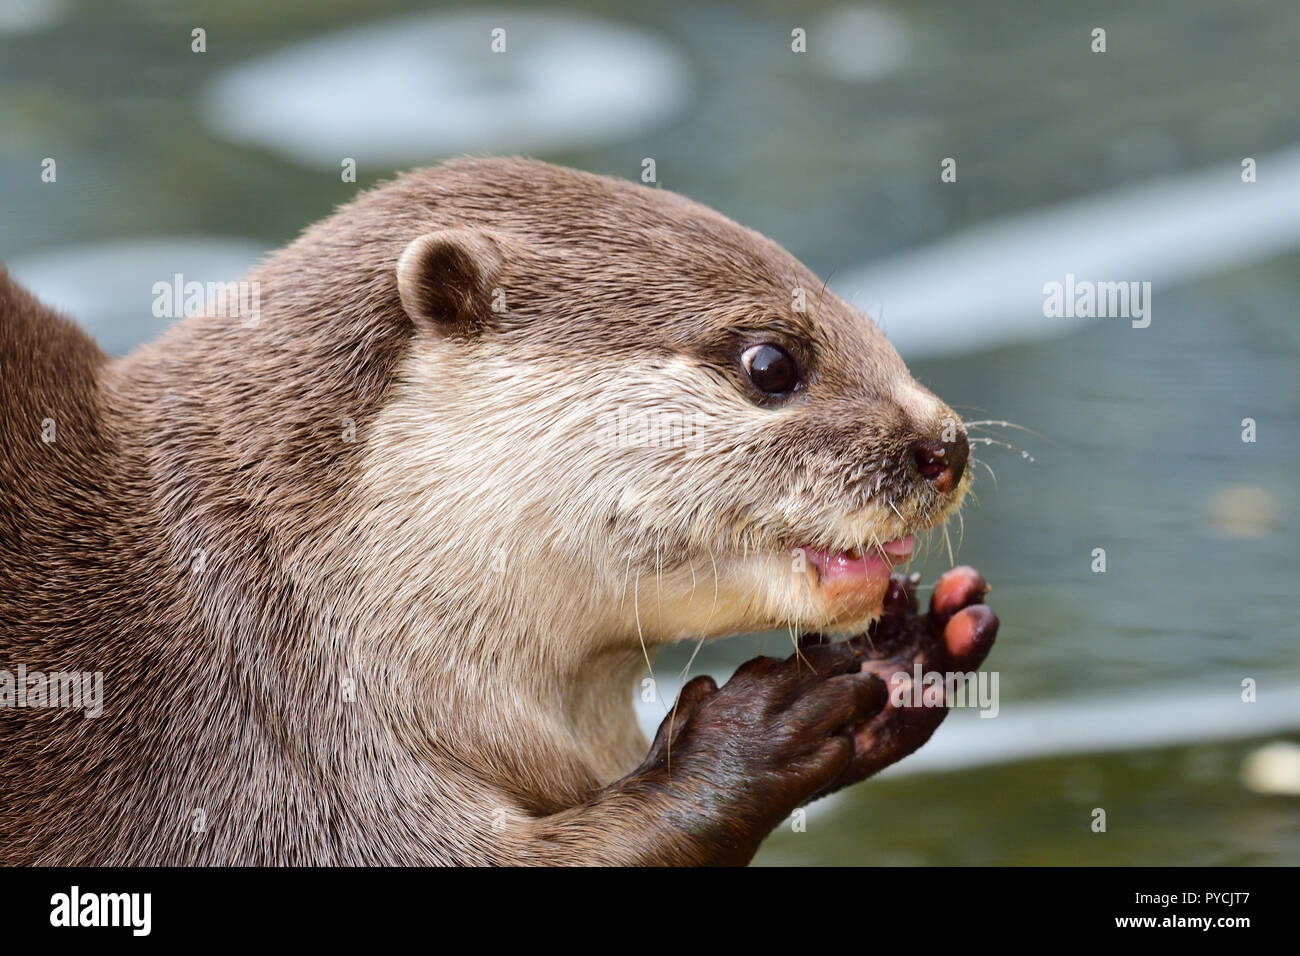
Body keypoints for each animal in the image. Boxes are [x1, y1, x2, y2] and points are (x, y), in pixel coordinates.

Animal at [0, 158, 997, 865]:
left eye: (872, 327)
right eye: (771, 364)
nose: (945, 445)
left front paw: (909, 651)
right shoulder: (265, 794)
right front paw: (762, 732)